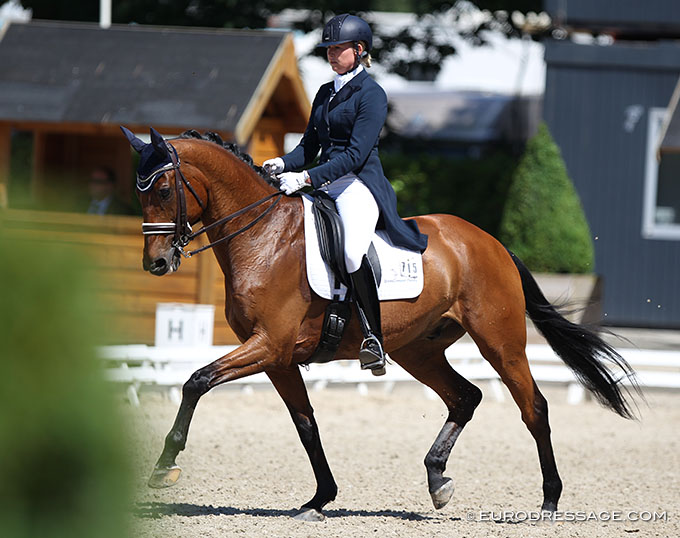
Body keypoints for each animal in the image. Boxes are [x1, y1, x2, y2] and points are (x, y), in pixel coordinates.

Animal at [122, 126, 638, 522]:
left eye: (164, 191)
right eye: (139, 193)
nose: (157, 263)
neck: (264, 237)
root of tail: (490, 241)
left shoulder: (269, 345)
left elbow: (195, 380)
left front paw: (164, 466)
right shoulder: (278, 358)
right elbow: (305, 424)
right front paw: (320, 499)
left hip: (500, 342)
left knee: (534, 408)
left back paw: (549, 500)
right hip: (417, 349)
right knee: (465, 397)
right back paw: (437, 479)